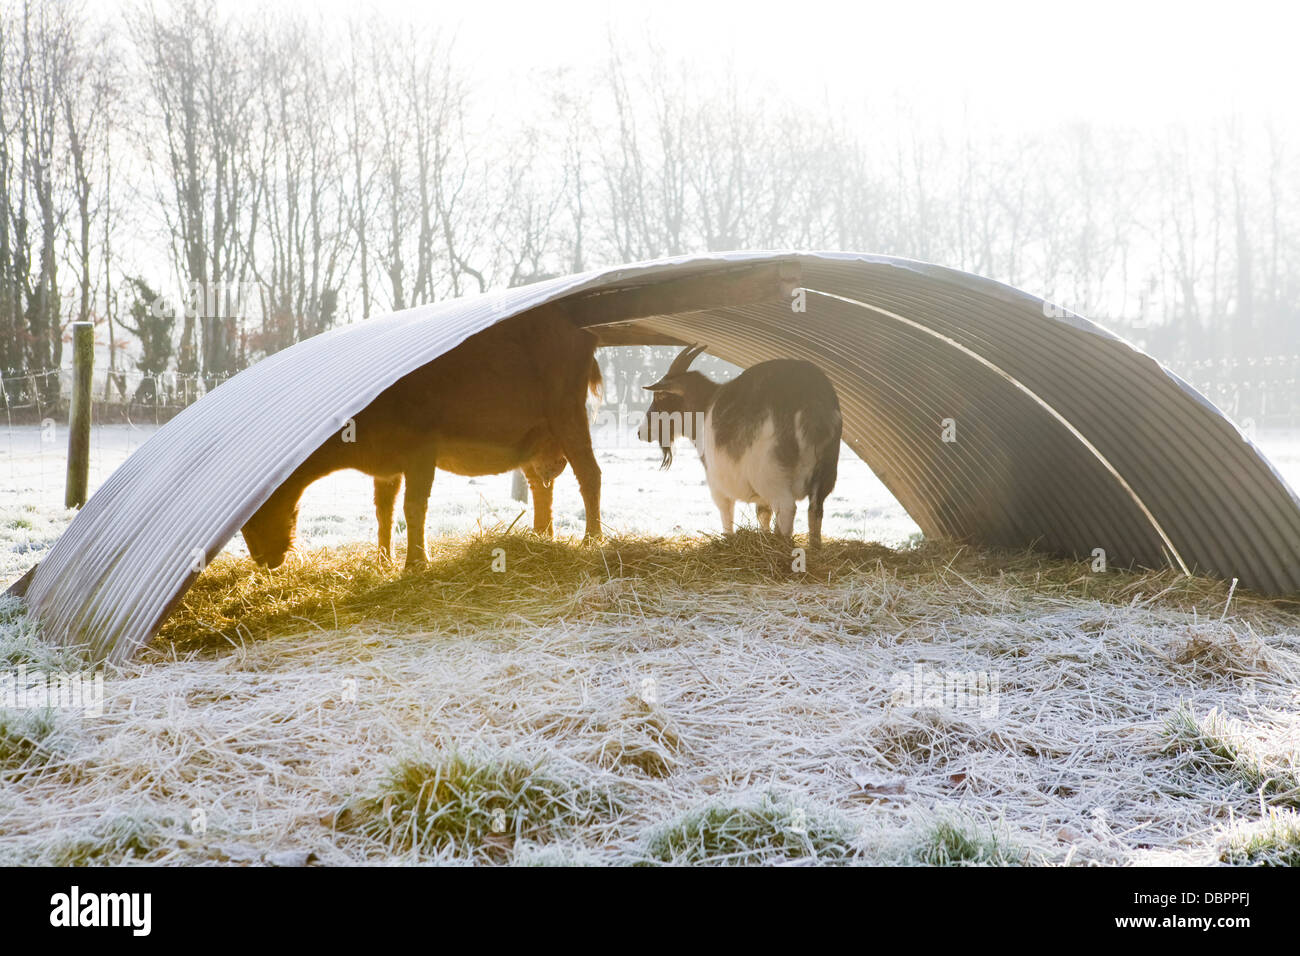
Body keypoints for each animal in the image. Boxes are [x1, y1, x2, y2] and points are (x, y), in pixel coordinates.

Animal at [241, 308, 603, 570]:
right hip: (533, 439)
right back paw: (540, 536)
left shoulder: (421, 451)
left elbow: (413, 506)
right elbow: (383, 511)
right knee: (540, 485)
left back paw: (592, 539)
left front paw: (415, 563)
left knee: (589, 473)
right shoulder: (385, 466)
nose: (264, 561)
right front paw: (383, 560)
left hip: (567, 412)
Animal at [638, 345, 841, 546]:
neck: (705, 407)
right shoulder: (762, 496)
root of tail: (810, 404)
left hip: (771, 474)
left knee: (787, 508)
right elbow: (763, 513)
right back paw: (814, 547)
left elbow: (726, 512)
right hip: (824, 474)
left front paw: (728, 539)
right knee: (815, 510)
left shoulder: (717, 484)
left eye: (660, 396)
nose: (640, 432)